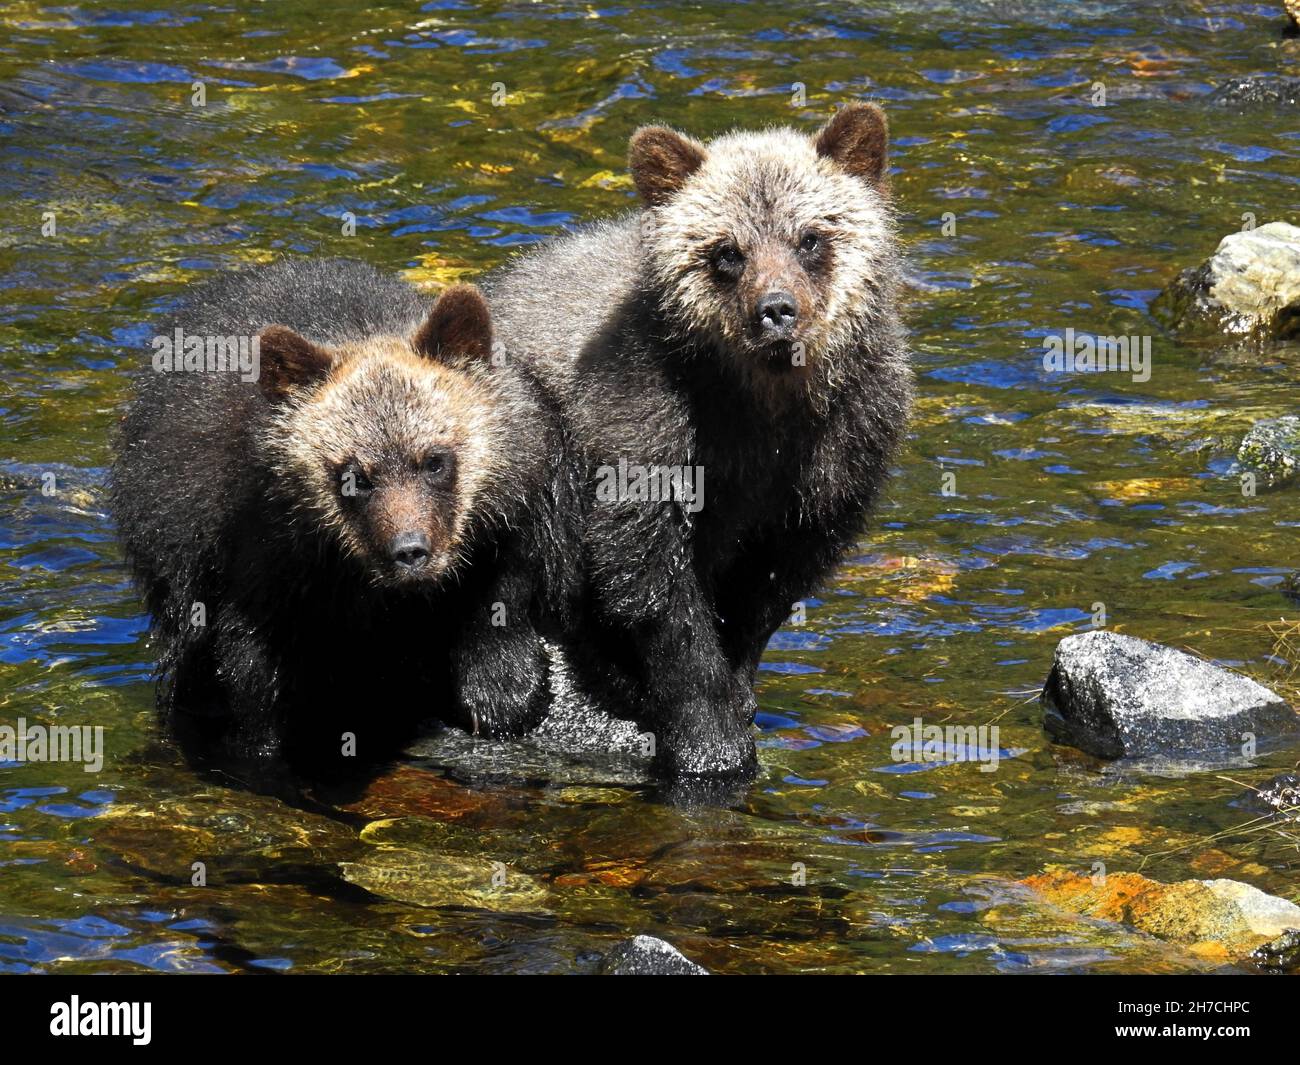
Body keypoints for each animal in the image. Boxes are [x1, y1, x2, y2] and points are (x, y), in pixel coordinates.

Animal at [111, 258, 580, 781]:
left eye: (434, 460)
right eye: (354, 476)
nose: (410, 551)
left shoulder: (516, 507)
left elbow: (504, 589)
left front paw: (505, 690)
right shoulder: (256, 554)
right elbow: (250, 669)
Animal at [482, 103, 912, 779]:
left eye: (810, 237)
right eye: (728, 251)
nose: (777, 310)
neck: (765, 407)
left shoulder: (842, 443)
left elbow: (771, 584)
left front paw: (739, 690)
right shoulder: (644, 416)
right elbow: (652, 580)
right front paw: (709, 736)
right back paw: (507, 676)